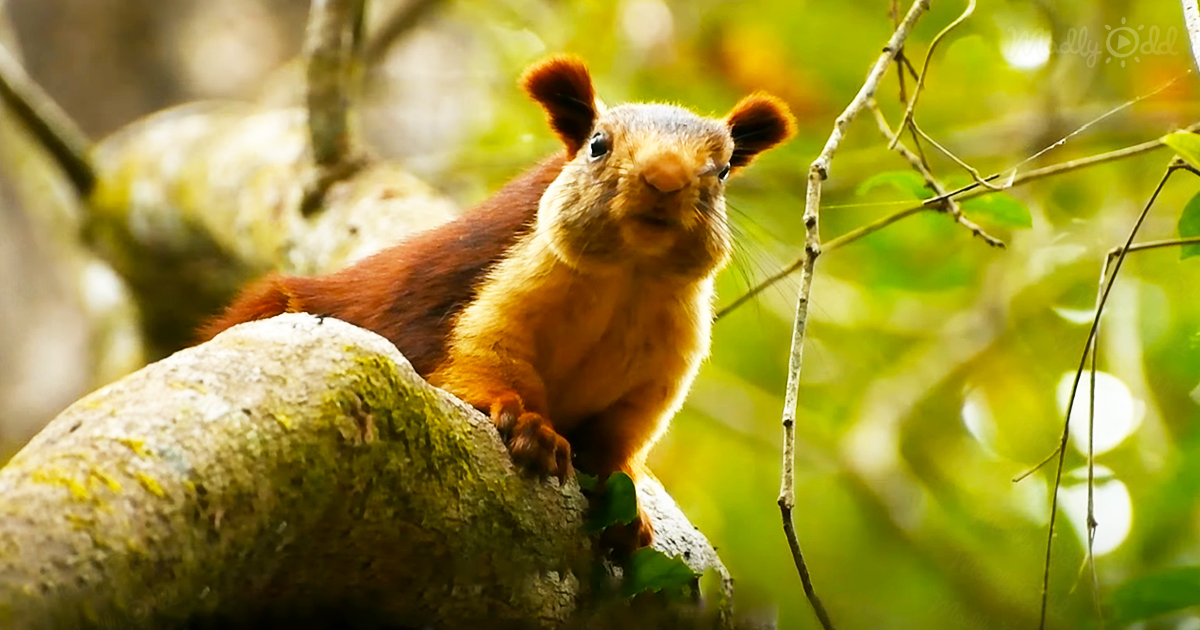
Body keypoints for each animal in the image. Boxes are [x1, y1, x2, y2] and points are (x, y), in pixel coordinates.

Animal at [200, 55, 795, 548]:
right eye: (597, 144)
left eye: (722, 170)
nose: (665, 177)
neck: (629, 279)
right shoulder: (493, 294)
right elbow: (481, 363)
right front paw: (530, 428)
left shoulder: (662, 365)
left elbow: (623, 435)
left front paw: (626, 496)